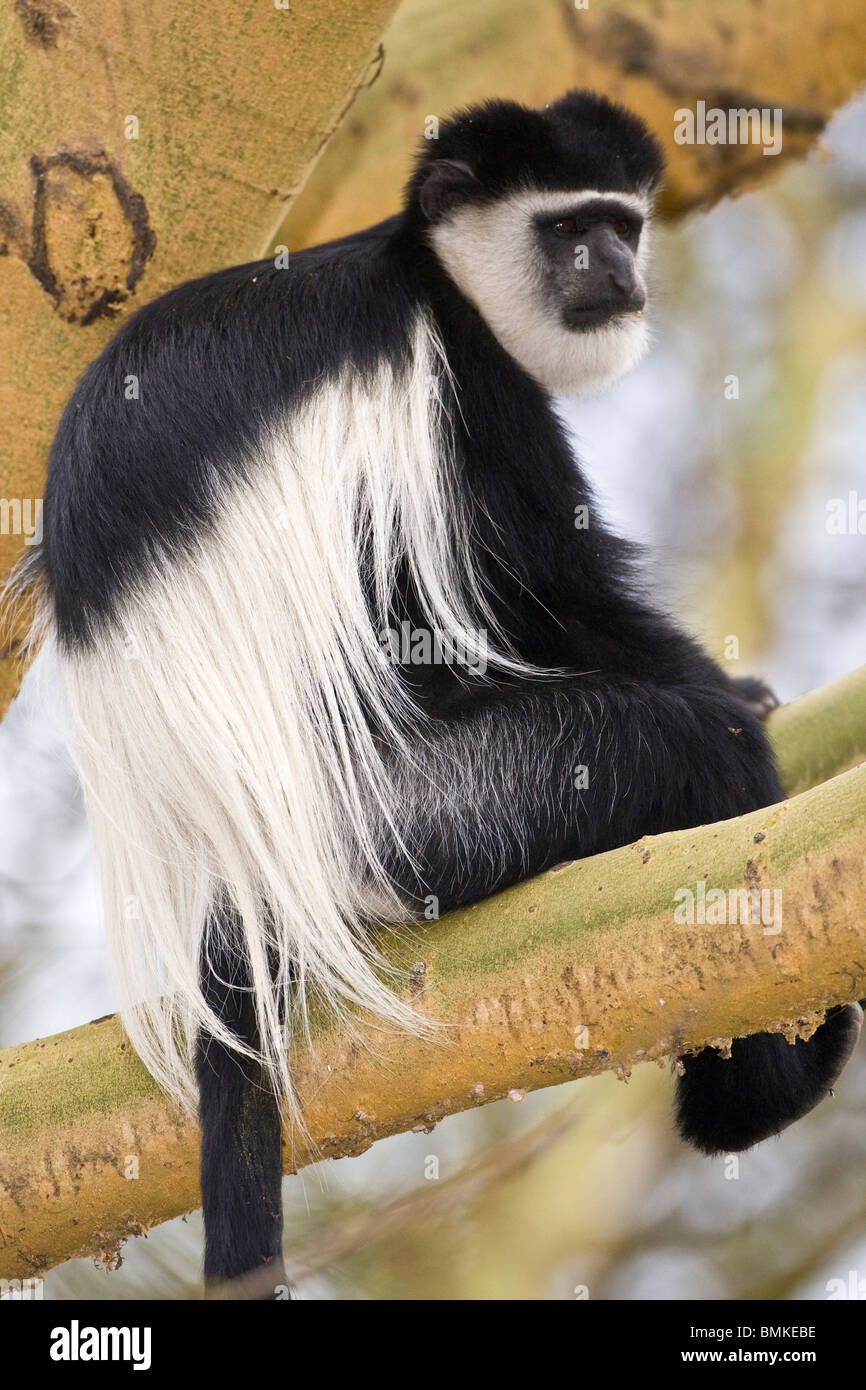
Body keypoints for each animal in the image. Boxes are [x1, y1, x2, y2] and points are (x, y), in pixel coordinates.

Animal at [12, 90, 861, 1294]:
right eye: (568, 230)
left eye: (621, 224)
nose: (619, 274)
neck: (427, 269)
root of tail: (229, 869)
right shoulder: (460, 379)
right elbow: (545, 590)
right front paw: (735, 693)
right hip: (419, 812)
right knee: (682, 753)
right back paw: (765, 1083)